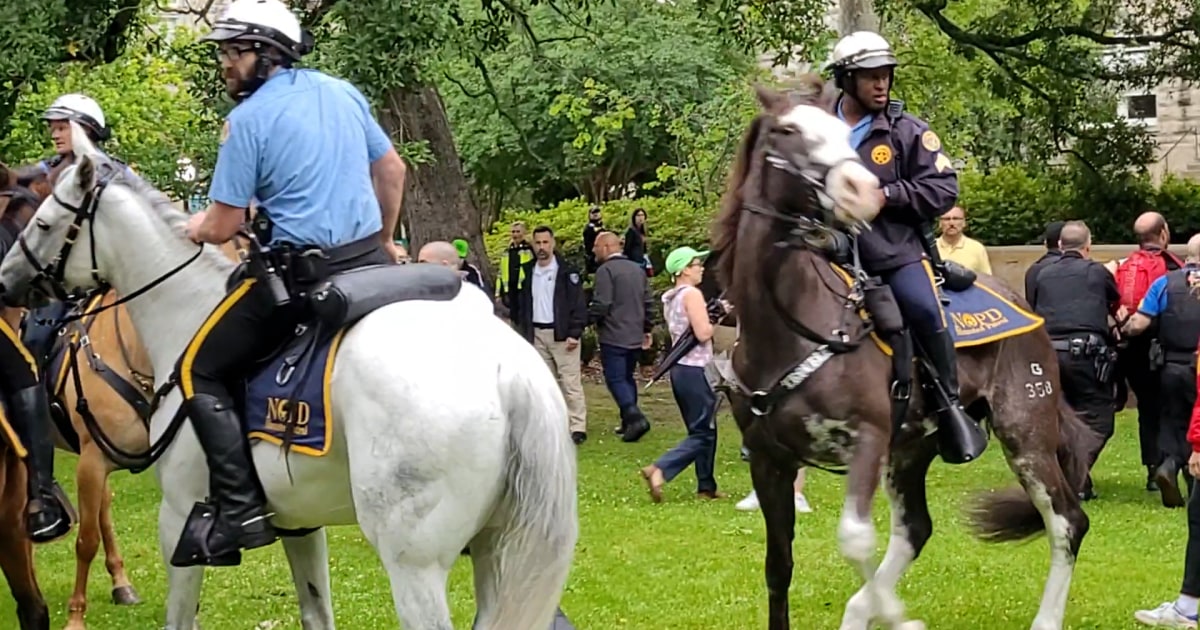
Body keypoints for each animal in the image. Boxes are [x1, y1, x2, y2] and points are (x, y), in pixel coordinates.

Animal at [0, 121, 577, 630]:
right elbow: (316, 612)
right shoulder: (300, 524)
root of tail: (509, 372)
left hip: (415, 563)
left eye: (44, 222)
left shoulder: (180, 517)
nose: (6, 279)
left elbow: (179, 616)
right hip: (496, 551)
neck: (184, 312)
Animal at [710, 76, 1095, 630]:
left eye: (841, 137)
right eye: (788, 131)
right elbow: (778, 566)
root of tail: (1023, 303)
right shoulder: (769, 461)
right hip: (912, 448)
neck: (790, 325)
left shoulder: (867, 440)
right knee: (916, 527)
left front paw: (896, 614)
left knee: (1067, 521)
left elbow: (854, 538)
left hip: (1026, 434)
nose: (859, 189)